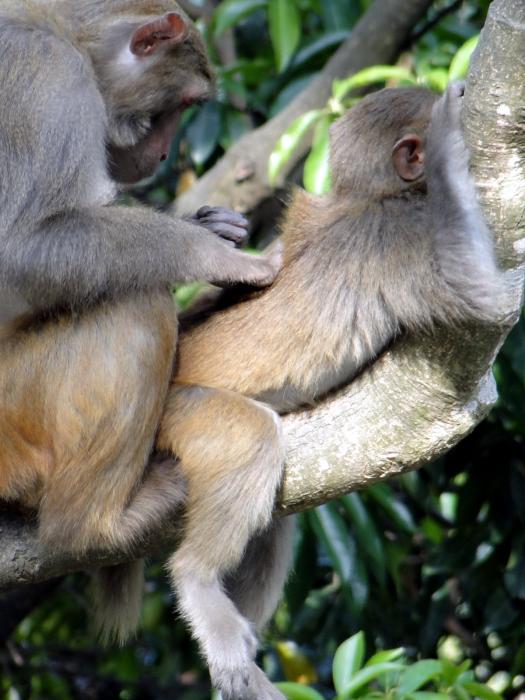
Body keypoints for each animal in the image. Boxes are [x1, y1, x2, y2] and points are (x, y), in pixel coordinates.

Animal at [0, 0, 281, 643]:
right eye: (180, 106)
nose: (162, 155)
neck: (68, 36)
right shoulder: (48, 85)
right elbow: (21, 246)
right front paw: (209, 250)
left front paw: (213, 224)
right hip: (14, 409)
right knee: (136, 301)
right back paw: (98, 525)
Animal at [155, 83, 503, 699]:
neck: (371, 199)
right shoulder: (408, 235)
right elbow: (486, 297)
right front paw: (448, 144)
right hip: (177, 411)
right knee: (251, 442)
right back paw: (197, 580)